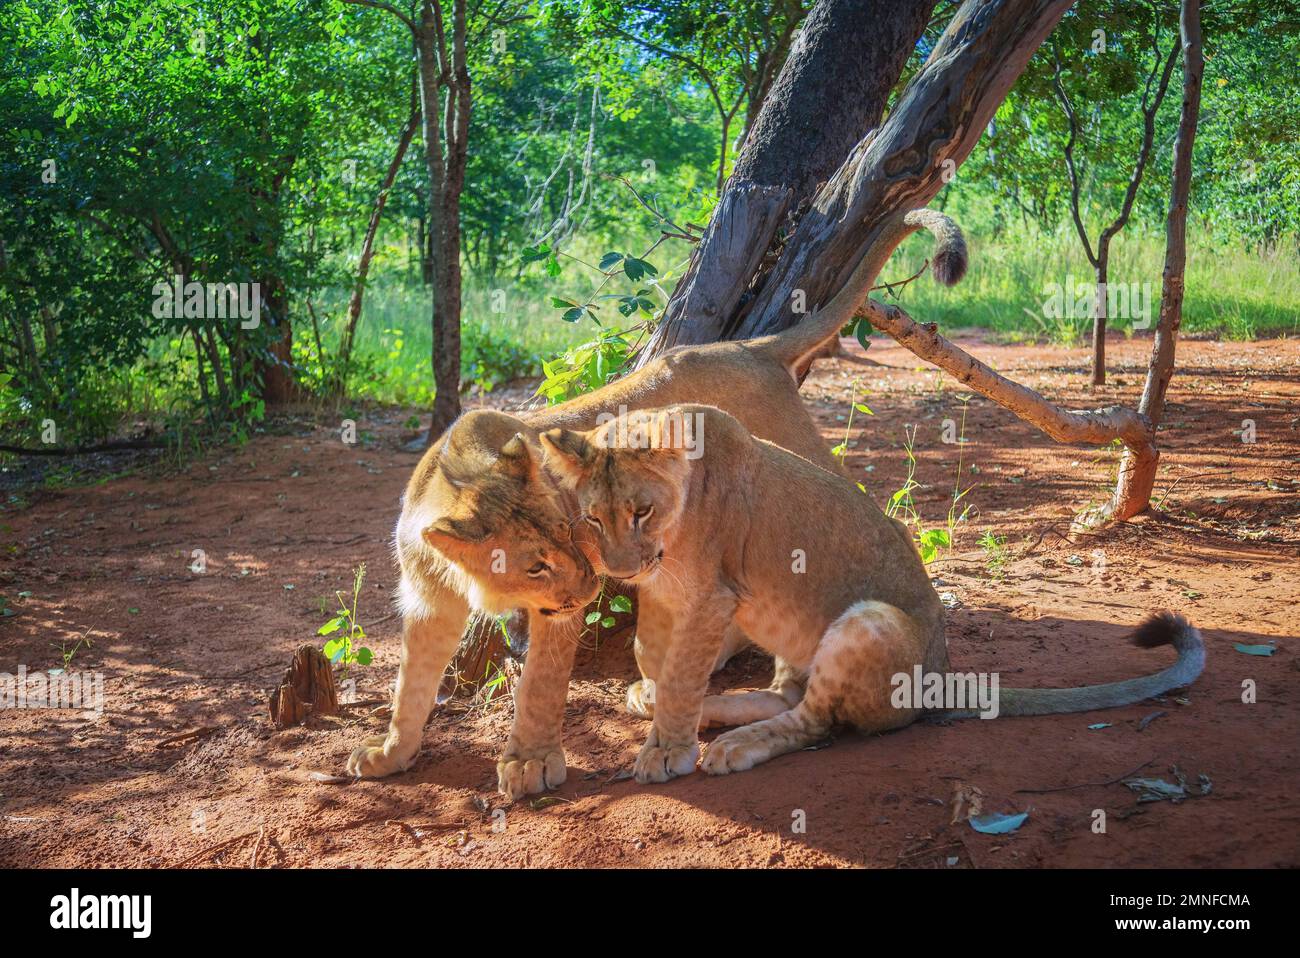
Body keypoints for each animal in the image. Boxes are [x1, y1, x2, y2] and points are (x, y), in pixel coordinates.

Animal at [345, 209, 966, 798]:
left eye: (570, 532)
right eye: (536, 563)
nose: (592, 586)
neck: (452, 485)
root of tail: (750, 347)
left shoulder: (557, 613)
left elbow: (540, 684)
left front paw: (531, 761)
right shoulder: (429, 602)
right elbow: (410, 684)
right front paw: (390, 753)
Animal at [538, 404, 1205, 782]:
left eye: (642, 511)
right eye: (593, 518)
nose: (620, 568)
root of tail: (941, 675)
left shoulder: (711, 598)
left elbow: (681, 672)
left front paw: (665, 750)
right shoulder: (664, 596)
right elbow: (653, 655)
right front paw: (655, 699)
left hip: (869, 619)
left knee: (814, 721)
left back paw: (732, 745)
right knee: (785, 696)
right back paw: (700, 710)